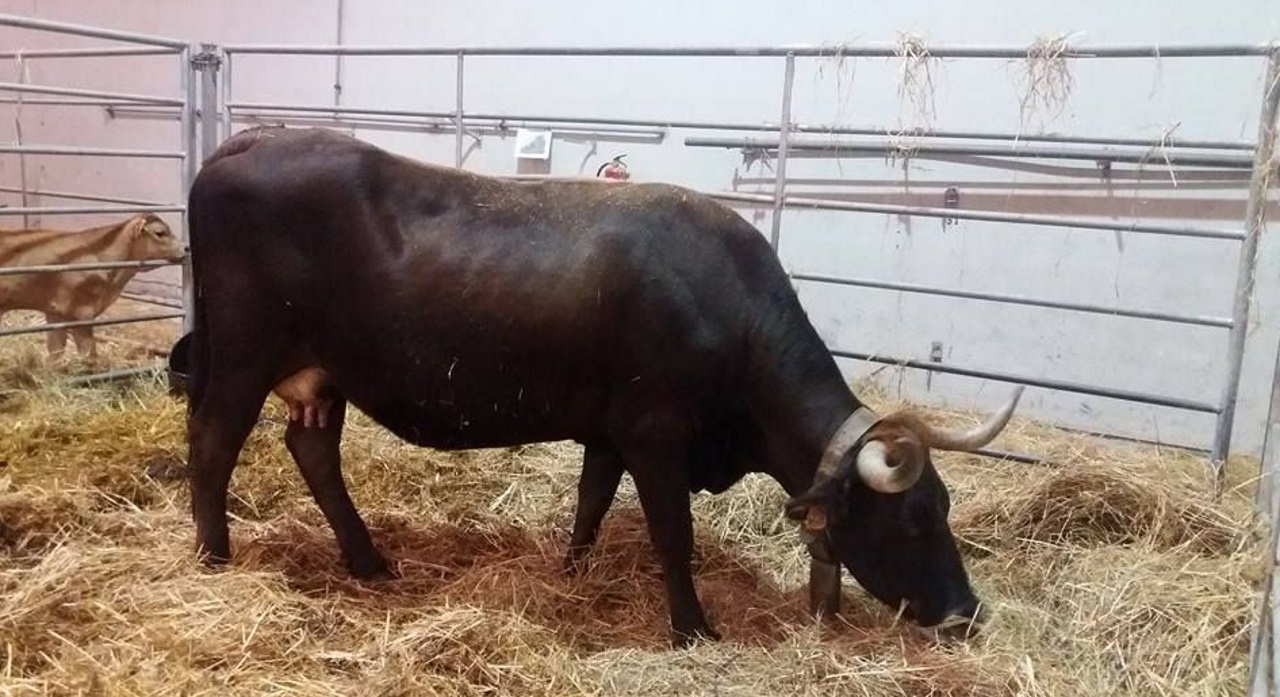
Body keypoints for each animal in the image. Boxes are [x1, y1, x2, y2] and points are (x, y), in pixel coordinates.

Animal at [0, 213, 186, 358]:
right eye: (160, 232)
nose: (186, 247)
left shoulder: (56, 312)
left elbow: (56, 349)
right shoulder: (81, 312)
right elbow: (89, 352)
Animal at [182, 125, 1024, 647]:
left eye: (945, 503)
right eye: (912, 517)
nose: (966, 612)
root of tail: (253, 139)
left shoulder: (608, 429)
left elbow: (589, 504)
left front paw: (571, 575)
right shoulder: (655, 432)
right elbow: (672, 532)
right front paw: (691, 627)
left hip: (321, 376)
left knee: (313, 452)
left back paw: (368, 560)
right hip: (243, 355)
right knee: (213, 444)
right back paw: (214, 558)